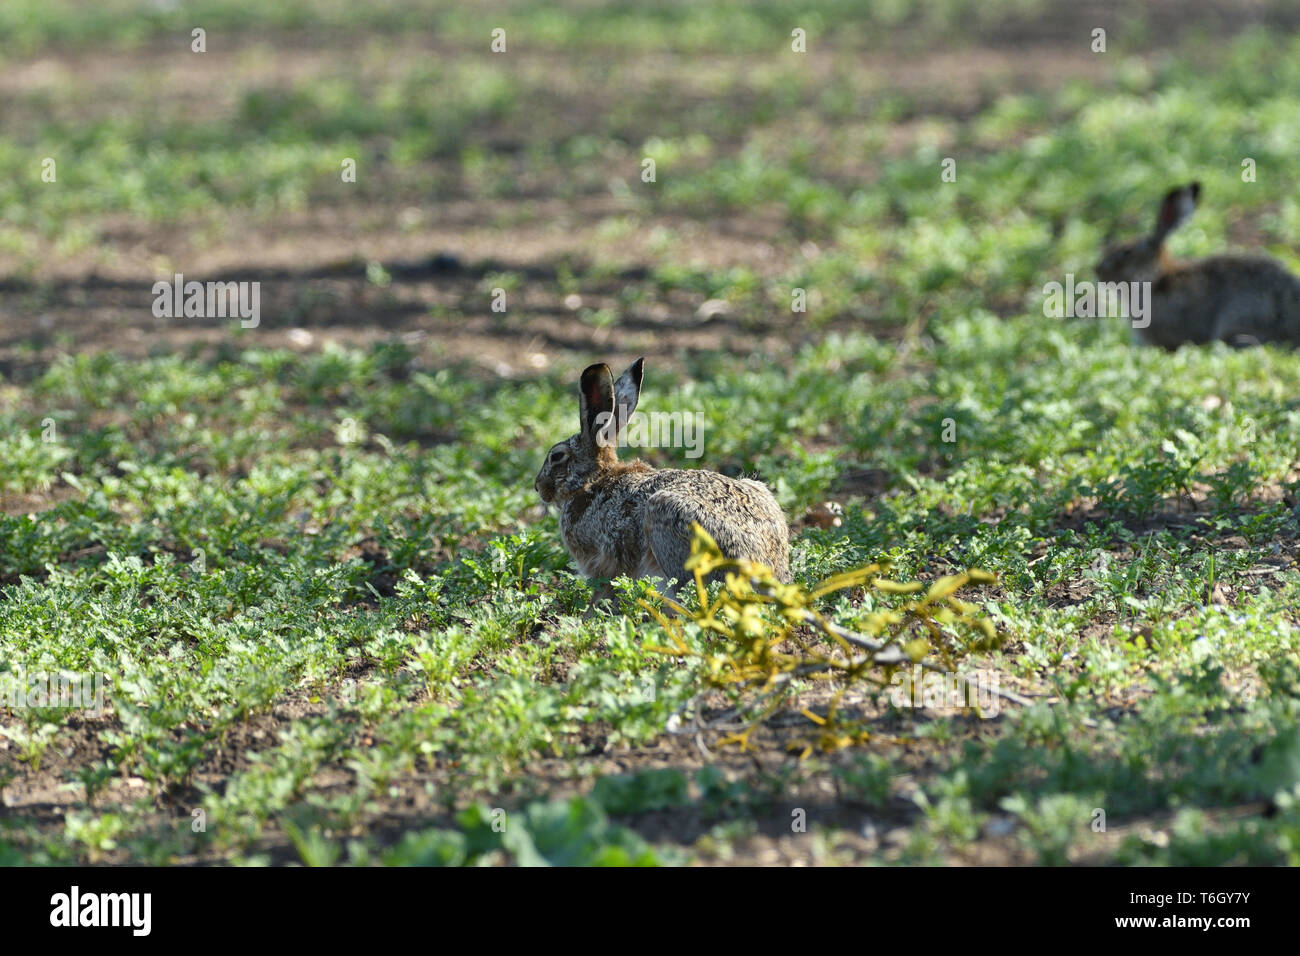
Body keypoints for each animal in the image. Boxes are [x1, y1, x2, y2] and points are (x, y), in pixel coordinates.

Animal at [534, 358, 791, 605]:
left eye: (556, 456)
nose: (538, 487)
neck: (592, 482)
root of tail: (768, 574)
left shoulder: (608, 561)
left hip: (668, 519)